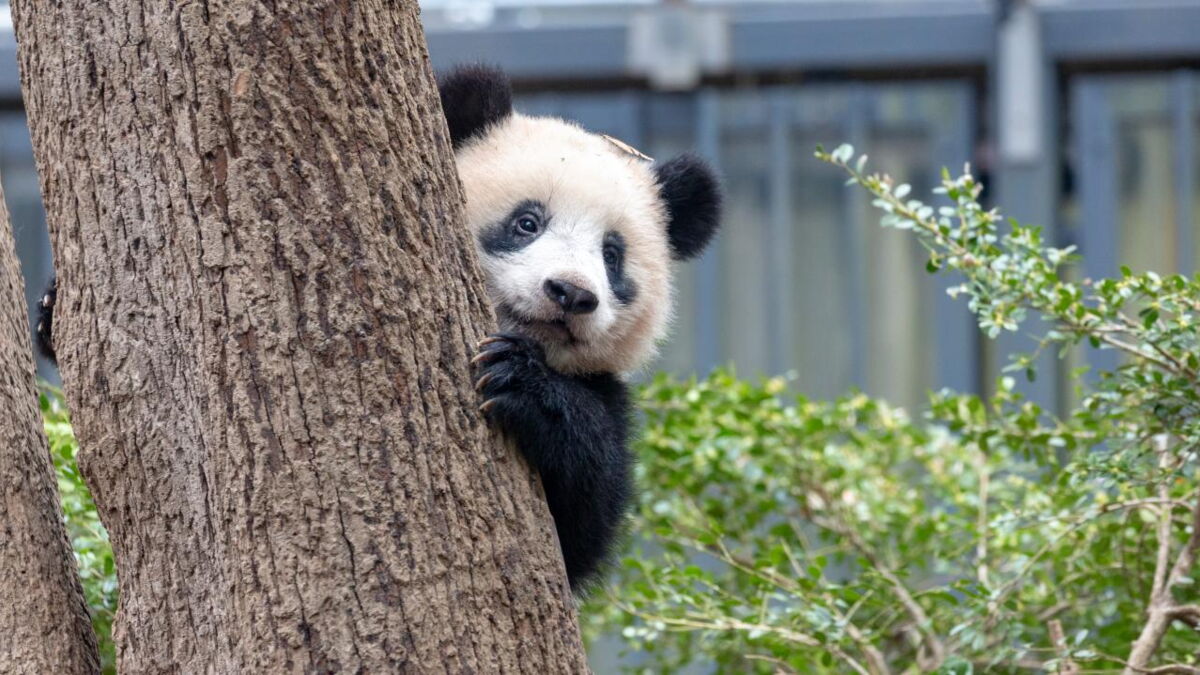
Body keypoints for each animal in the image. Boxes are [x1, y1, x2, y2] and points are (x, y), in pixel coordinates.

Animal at [441, 65, 721, 592]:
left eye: (611, 256)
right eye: (527, 222)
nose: (571, 294)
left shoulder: (607, 393)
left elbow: (586, 517)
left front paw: (524, 384)